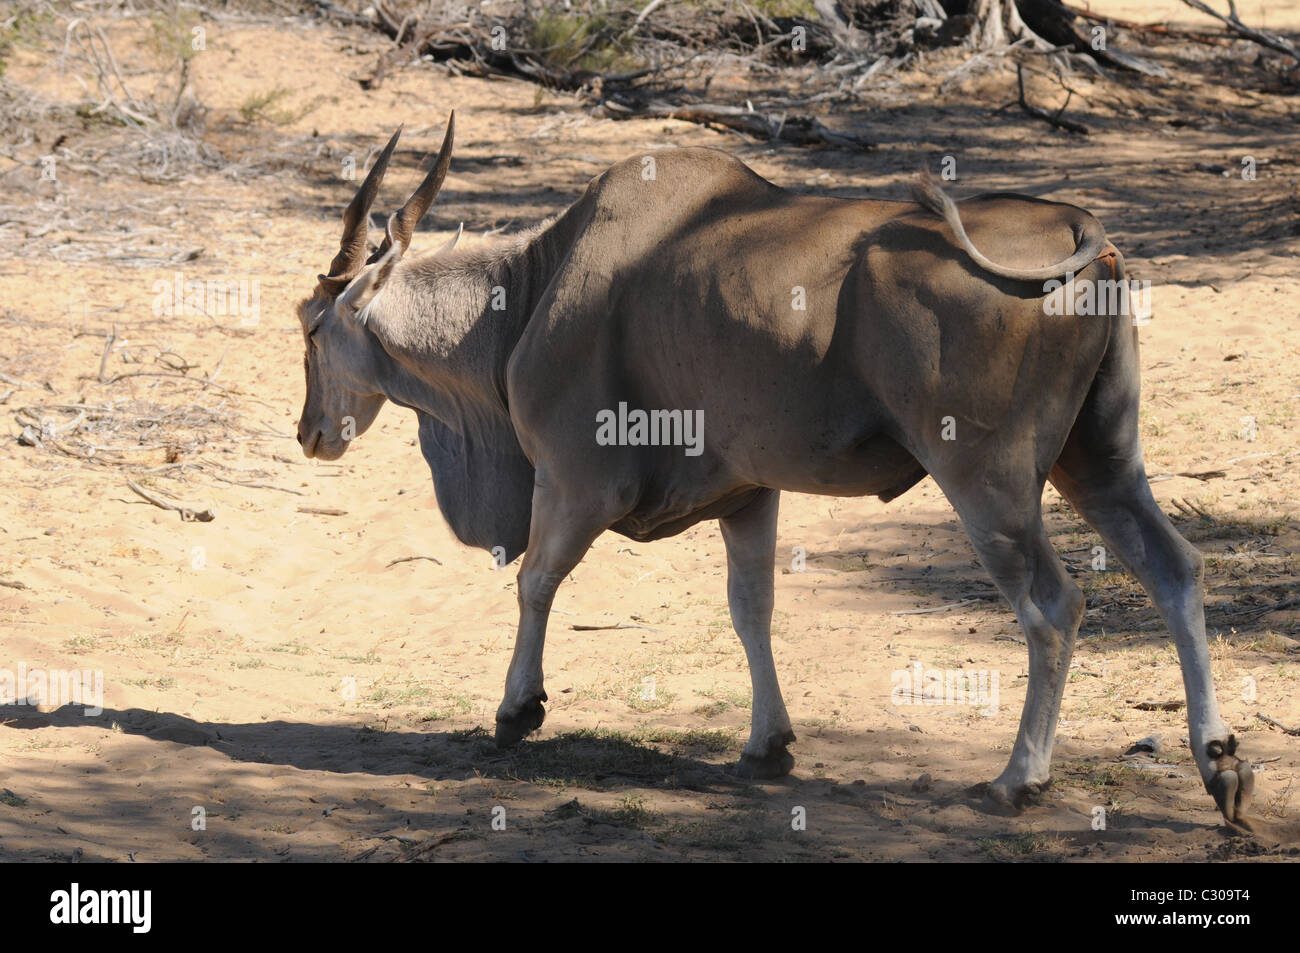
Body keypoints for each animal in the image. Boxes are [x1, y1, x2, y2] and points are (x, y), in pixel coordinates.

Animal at [294, 112, 1255, 827]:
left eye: (308, 327)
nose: (310, 434)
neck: (531, 292)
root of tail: (1084, 231)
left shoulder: (576, 480)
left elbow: (534, 580)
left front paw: (515, 711)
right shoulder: (747, 492)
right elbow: (750, 607)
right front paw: (768, 742)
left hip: (986, 477)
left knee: (1054, 604)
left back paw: (1018, 778)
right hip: (1098, 460)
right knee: (1176, 567)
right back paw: (1219, 765)